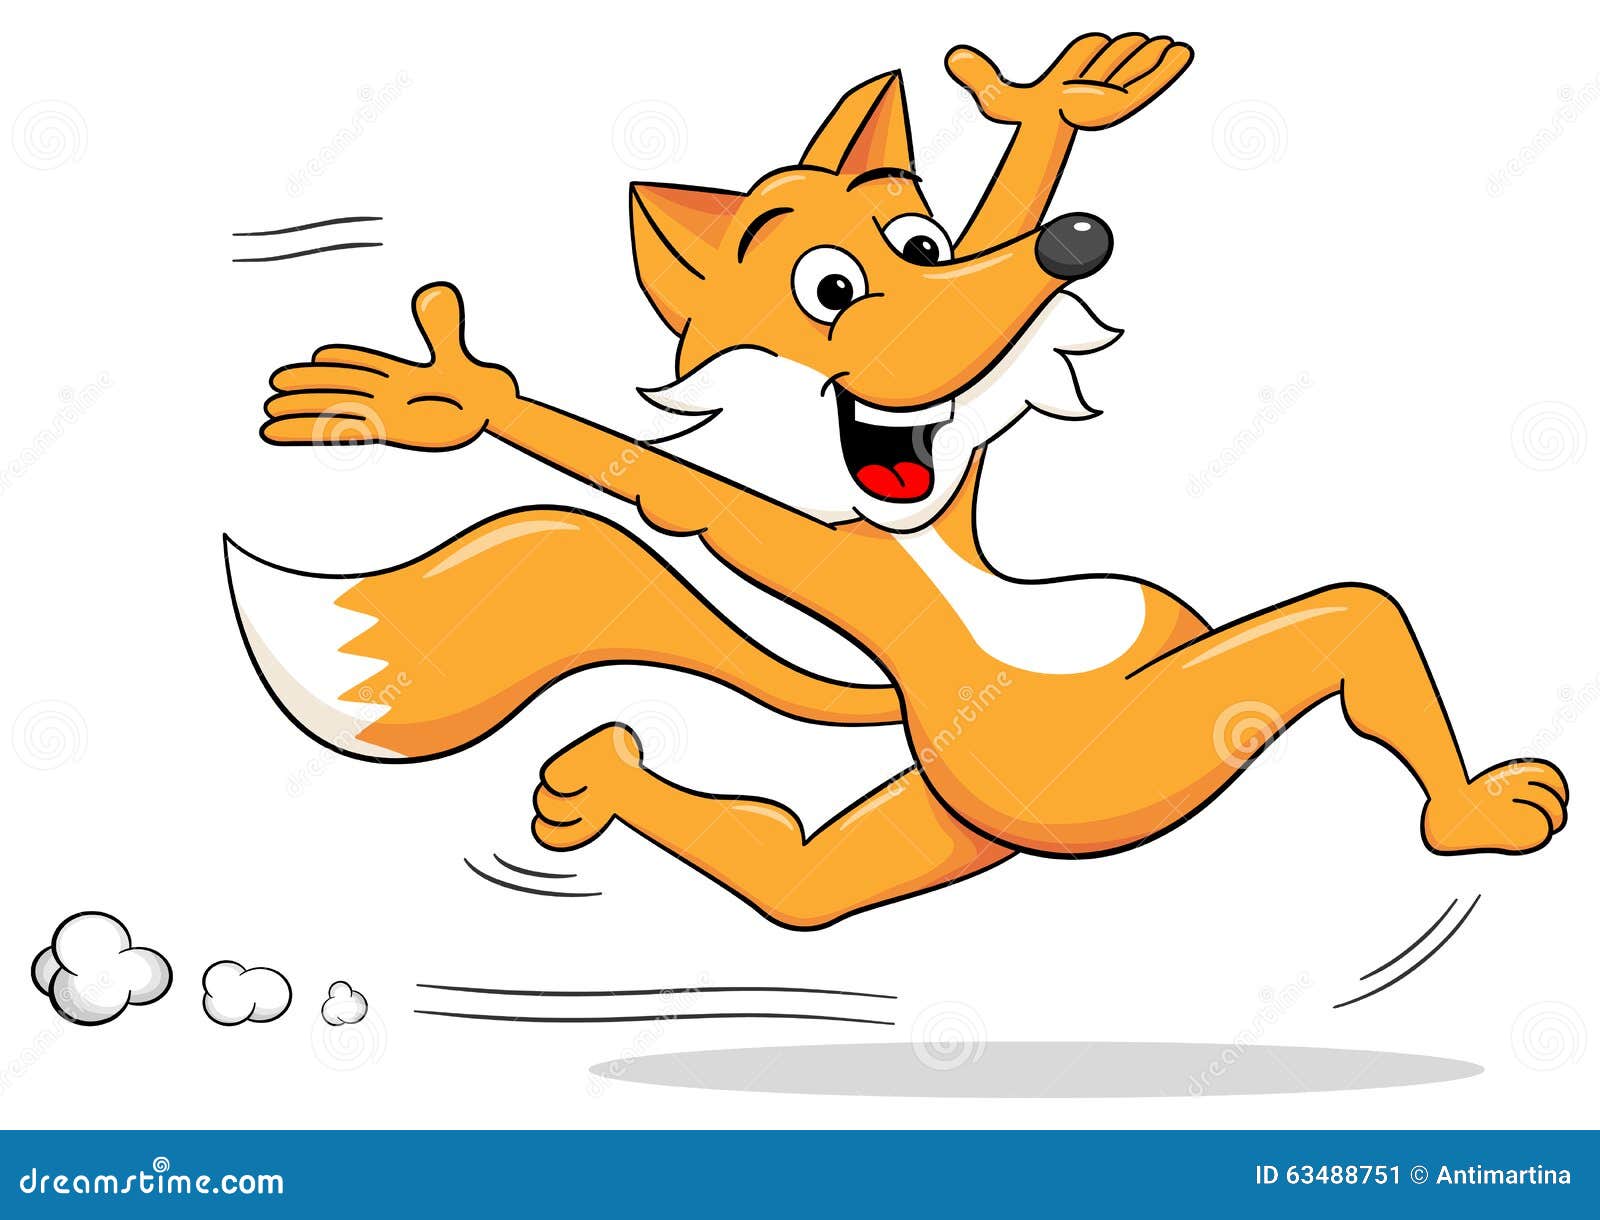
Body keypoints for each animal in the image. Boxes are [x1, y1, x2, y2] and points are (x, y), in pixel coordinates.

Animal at [230, 33, 1568, 930]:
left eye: (924, 245)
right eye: (830, 288)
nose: (1071, 245)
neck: (924, 536)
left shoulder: (958, 469)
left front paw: (1056, 111)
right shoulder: (801, 547)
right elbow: (670, 489)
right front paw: (454, 402)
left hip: (977, 807)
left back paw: (1469, 816)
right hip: (1123, 749)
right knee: (800, 881)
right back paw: (594, 774)